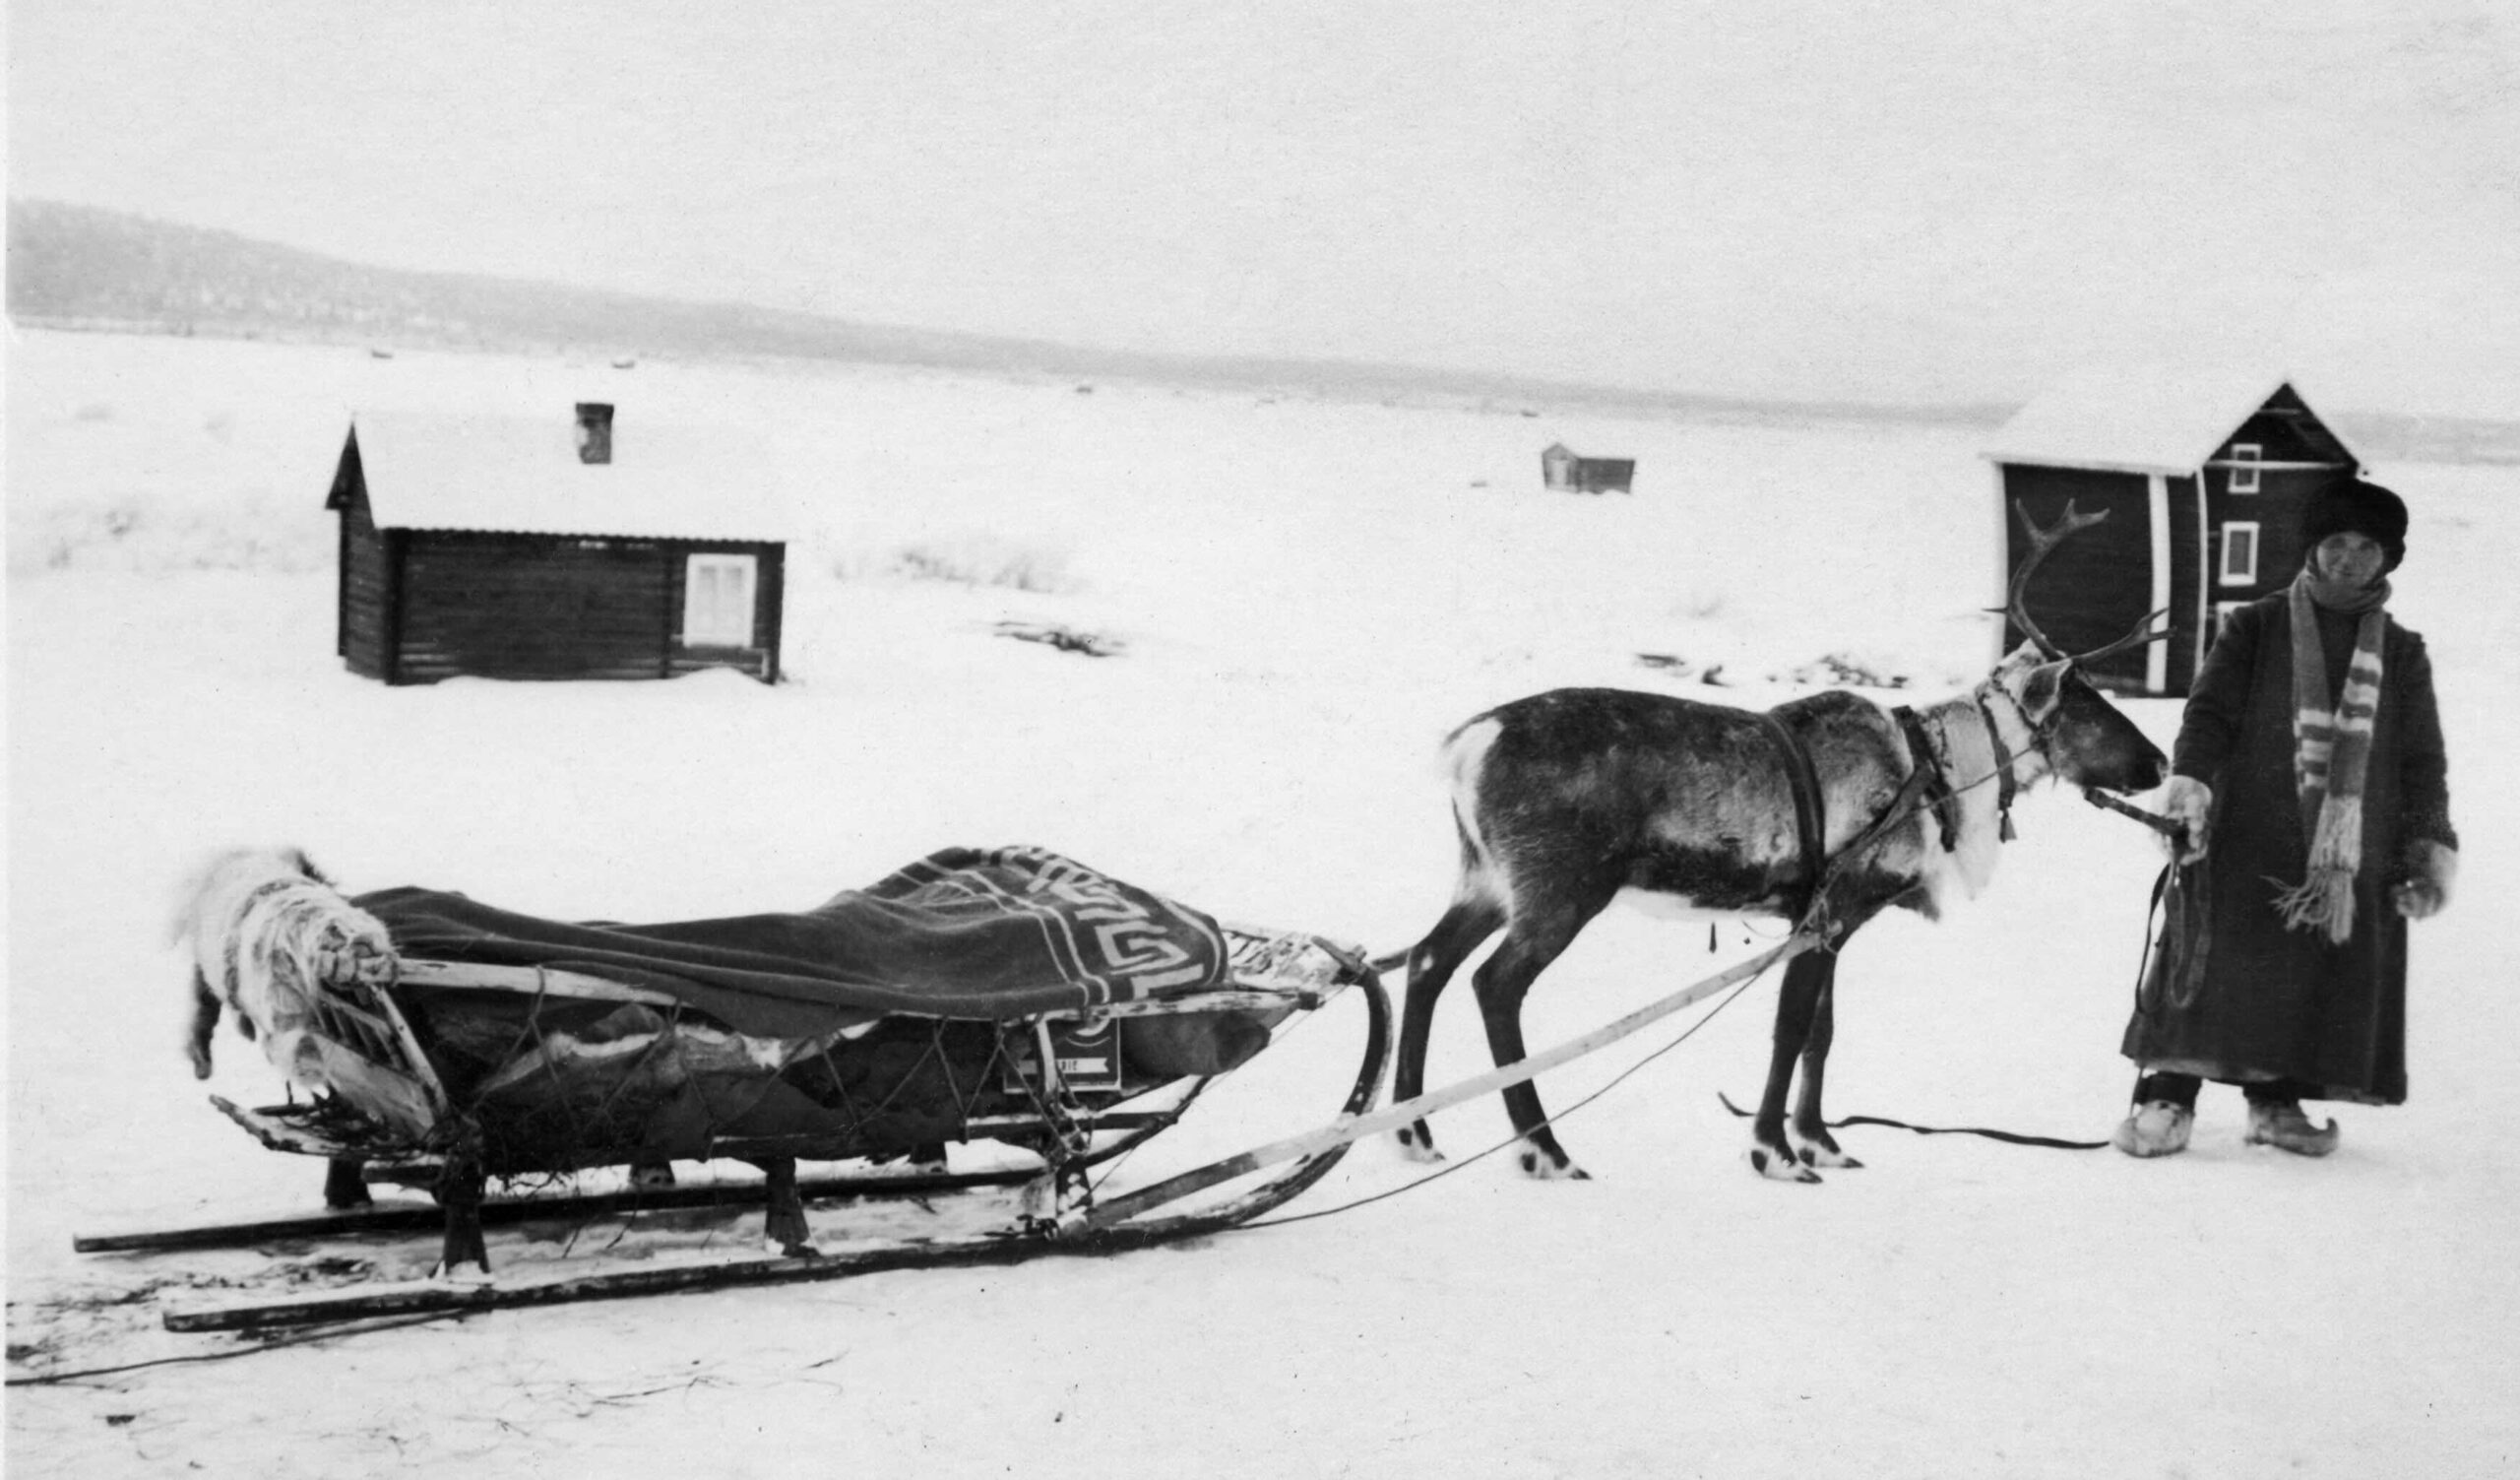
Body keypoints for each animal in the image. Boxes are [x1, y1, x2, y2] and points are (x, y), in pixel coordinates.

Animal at [1390, 501, 2169, 1183]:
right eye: (2088, 704)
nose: (2160, 763)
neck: (1941, 771)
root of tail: (1464, 746)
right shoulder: (1832, 909)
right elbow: (1791, 1028)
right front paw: (1776, 1153)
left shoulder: (1821, 920)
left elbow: (1822, 1031)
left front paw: (1823, 1141)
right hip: (1560, 889)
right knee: (1494, 984)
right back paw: (1547, 1151)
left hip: (1486, 879)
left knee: (1426, 960)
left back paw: (1414, 1133)